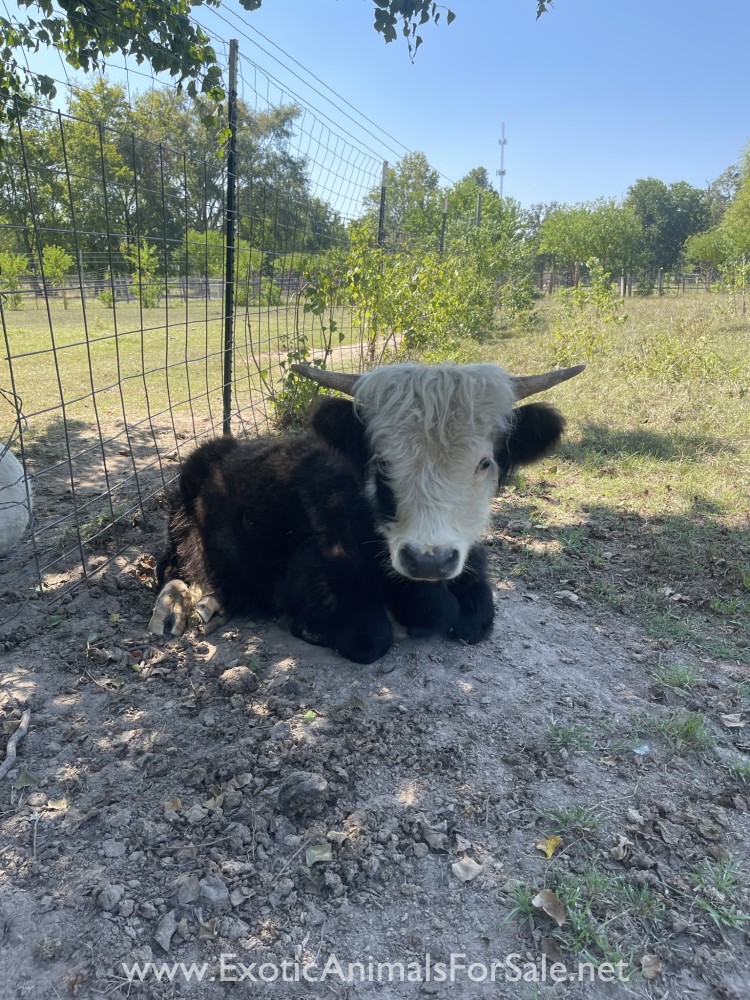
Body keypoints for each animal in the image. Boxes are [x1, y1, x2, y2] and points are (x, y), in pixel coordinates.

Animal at [149, 361, 583, 663]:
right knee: (171, 567)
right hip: (182, 522)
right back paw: (173, 611)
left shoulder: (471, 566)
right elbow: (372, 635)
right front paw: (307, 626)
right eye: (383, 462)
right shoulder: (307, 577)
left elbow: (476, 619)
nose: (428, 560)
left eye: (484, 463)